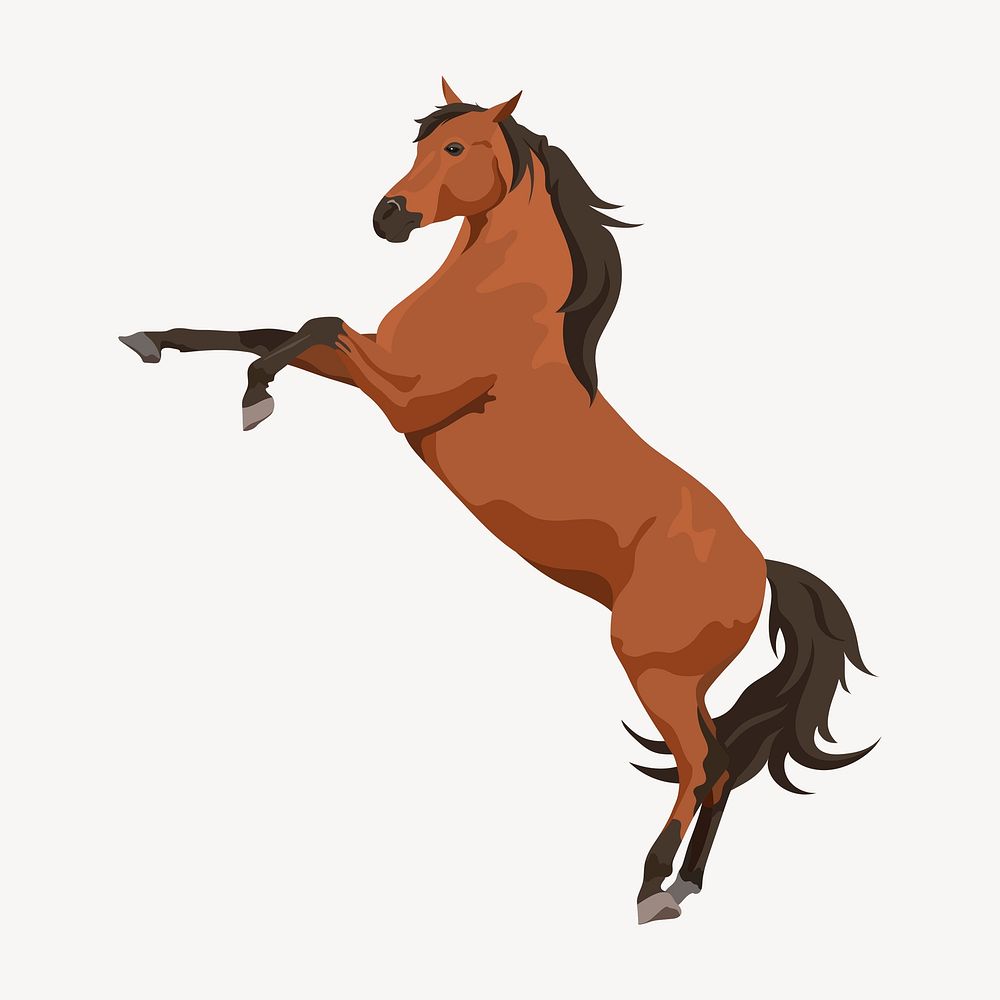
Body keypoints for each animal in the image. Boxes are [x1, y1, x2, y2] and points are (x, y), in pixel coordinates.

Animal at [120, 78, 876, 924]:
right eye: (419, 143)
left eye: (456, 147)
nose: (387, 216)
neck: (494, 305)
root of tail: (763, 568)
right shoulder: (371, 367)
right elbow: (270, 327)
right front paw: (155, 341)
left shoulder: (404, 399)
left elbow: (315, 322)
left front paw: (255, 400)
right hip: (684, 682)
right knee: (720, 768)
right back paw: (683, 885)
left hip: (656, 673)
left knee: (702, 766)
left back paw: (651, 884)